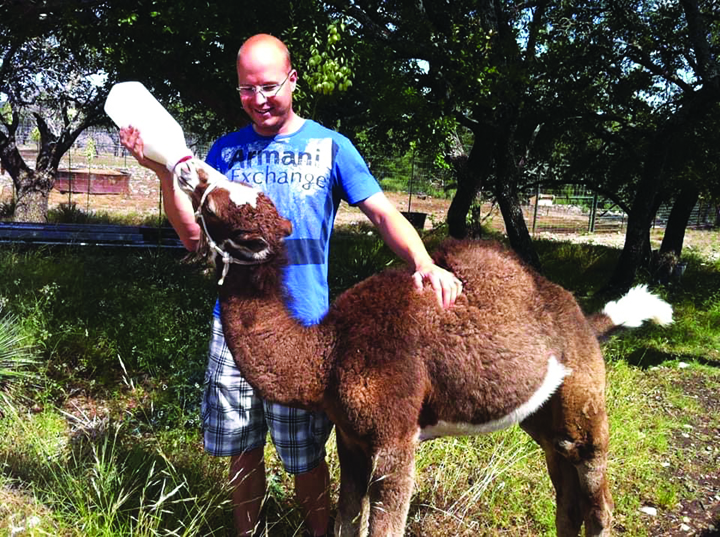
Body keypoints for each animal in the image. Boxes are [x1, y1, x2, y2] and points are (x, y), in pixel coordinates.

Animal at [174, 160, 672, 537]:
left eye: (217, 202)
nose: (188, 167)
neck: (327, 352)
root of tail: (586, 321)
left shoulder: (394, 437)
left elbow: (384, 525)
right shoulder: (352, 439)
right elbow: (346, 519)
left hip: (587, 402)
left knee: (598, 498)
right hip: (545, 419)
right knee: (567, 493)